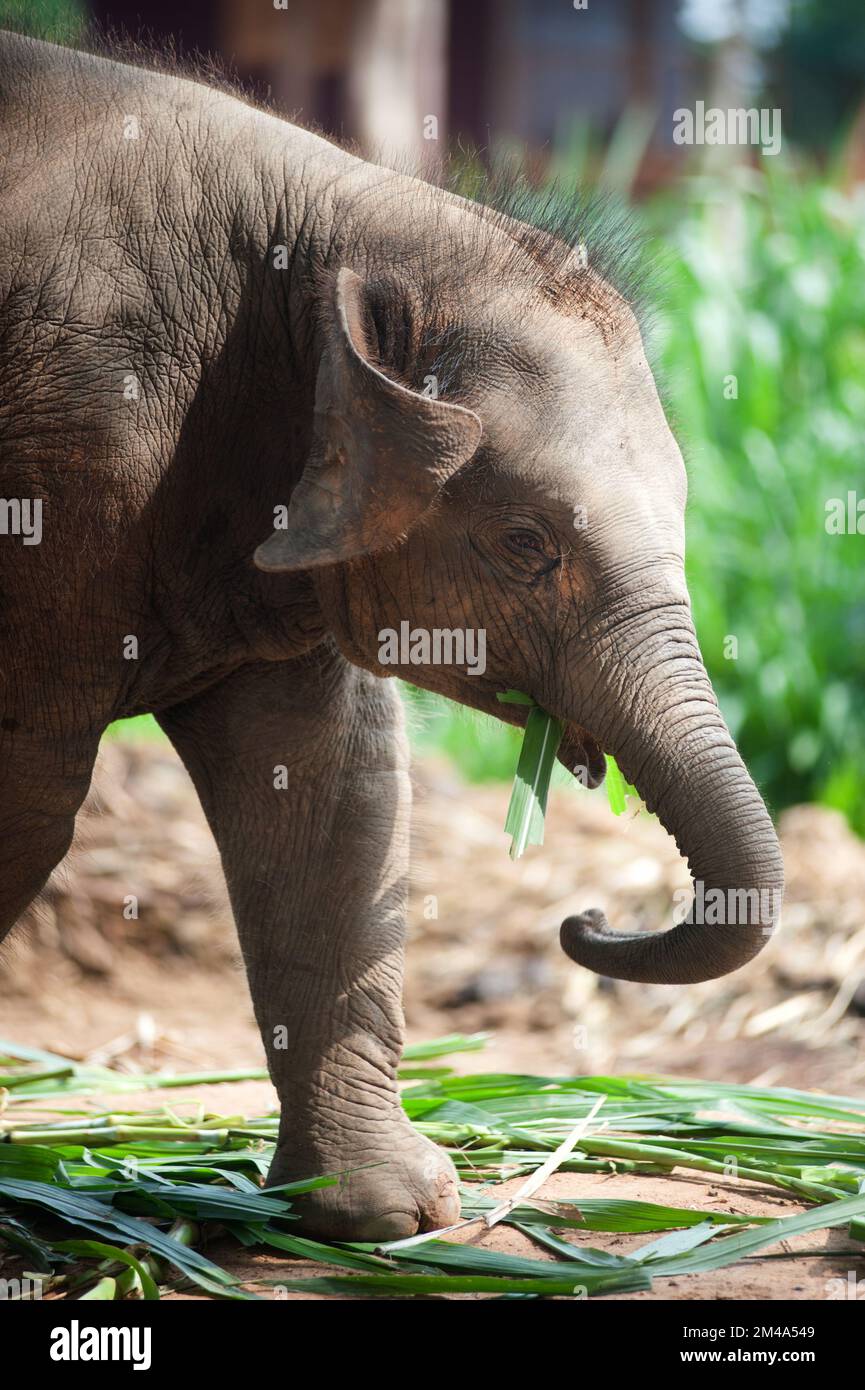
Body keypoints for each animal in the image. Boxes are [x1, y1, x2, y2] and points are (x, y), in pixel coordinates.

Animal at [0, 32, 783, 1240]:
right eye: (524, 542)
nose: (583, 917)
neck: (339, 225)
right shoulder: (59, 468)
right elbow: (31, 798)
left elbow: (337, 787)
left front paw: (384, 1218)